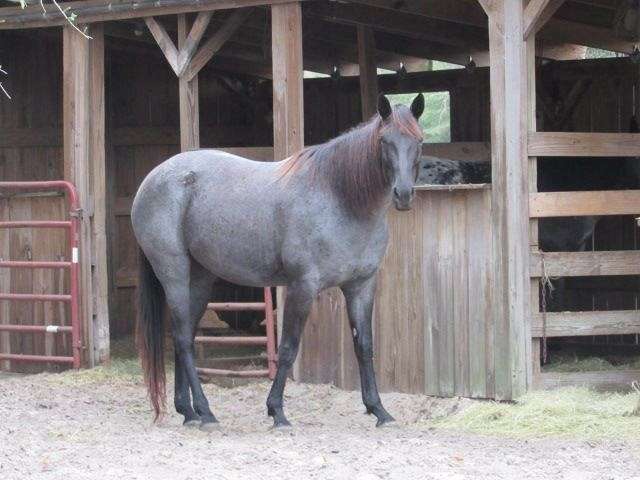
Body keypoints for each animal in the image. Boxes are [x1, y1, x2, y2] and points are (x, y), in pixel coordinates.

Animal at [131, 94, 425, 430]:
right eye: (384, 141)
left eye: (419, 141)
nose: (403, 194)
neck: (339, 197)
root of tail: (152, 179)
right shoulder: (302, 287)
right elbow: (287, 348)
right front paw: (277, 412)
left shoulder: (361, 286)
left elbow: (364, 346)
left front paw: (379, 410)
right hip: (174, 273)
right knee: (181, 338)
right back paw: (206, 413)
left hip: (201, 278)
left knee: (188, 337)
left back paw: (190, 412)